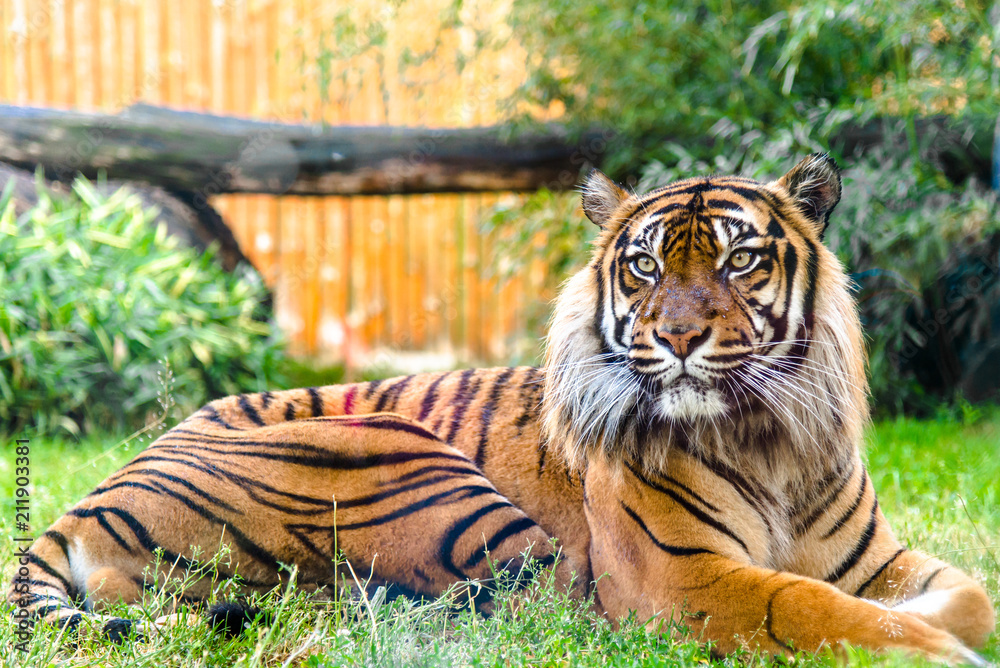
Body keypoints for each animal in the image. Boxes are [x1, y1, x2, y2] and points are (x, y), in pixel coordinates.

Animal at [7, 154, 994, 663]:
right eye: (644, 266)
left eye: (738, 260)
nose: (677, 337)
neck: (770, 439)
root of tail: (84, 502)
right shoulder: (680, 578)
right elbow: (812, 608)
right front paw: (931, 651)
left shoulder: (878, 560)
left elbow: (968, 594)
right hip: (410, 463)